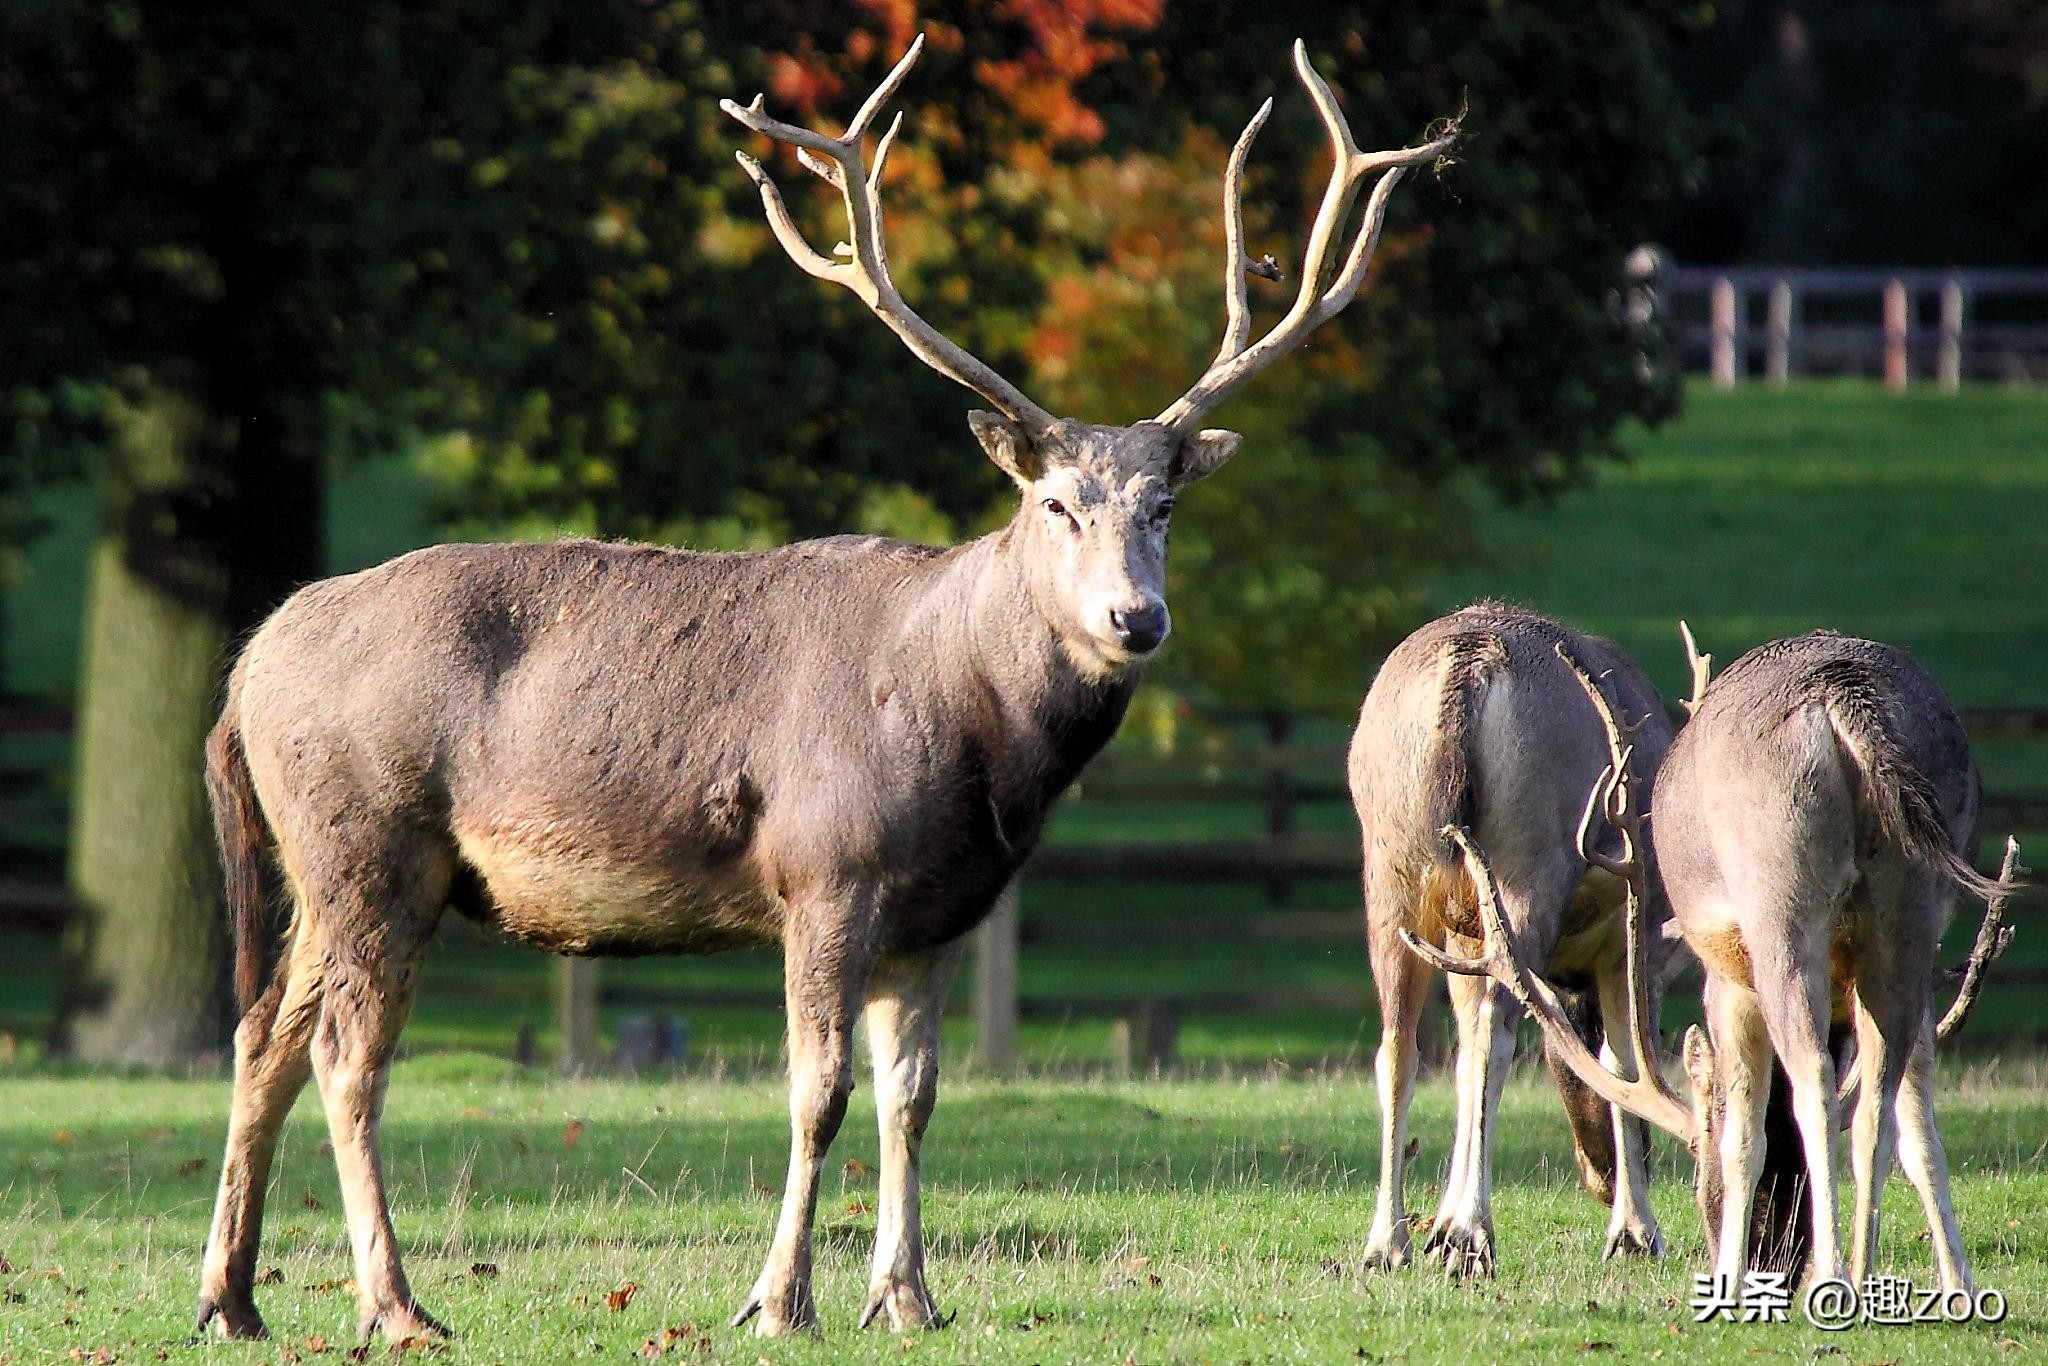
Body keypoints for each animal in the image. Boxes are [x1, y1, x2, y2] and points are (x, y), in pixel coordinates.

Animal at [193, 34, 1461, 1343]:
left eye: (1163, 504)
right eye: (1055, 503)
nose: (1135, 619)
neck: (976, 745)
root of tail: (245, 670)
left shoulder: (946, 909)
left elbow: (913, 1094)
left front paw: (906, 1296)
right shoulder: (825, 868)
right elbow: (819, 1090)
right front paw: (776, 1296)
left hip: (321, 866)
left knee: (261, 1031)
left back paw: (232, 1299)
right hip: (370, 841)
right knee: (346, 1055)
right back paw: (396, 1307)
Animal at [1348, 603, 1679, 1276]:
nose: (1600, 1177)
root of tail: (1468, 666)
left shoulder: (1463, 939)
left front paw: (1436, 1224)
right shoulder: (1632, 935)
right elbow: (1624, 1058)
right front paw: (1635, 1231)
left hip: (1390, 872)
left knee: (1398, 1047)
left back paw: (1387, 1242)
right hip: (1529, 860)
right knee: (1495, 1031)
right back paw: (1472, 1233)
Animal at [1413, 628, 2018, 1295]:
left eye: (1694, 1163)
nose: (1772, 1259)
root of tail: (1845, 706)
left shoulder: (1726, 979)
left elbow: (1742, 1135)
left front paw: (1727, 1277)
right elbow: (1919, 1127)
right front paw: (1958, 1285)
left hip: (1776, 902)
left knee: (1812, 1080)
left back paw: (1834, 1277)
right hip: (1910, 913)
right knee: (1874, 1112)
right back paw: (1860, 1275)